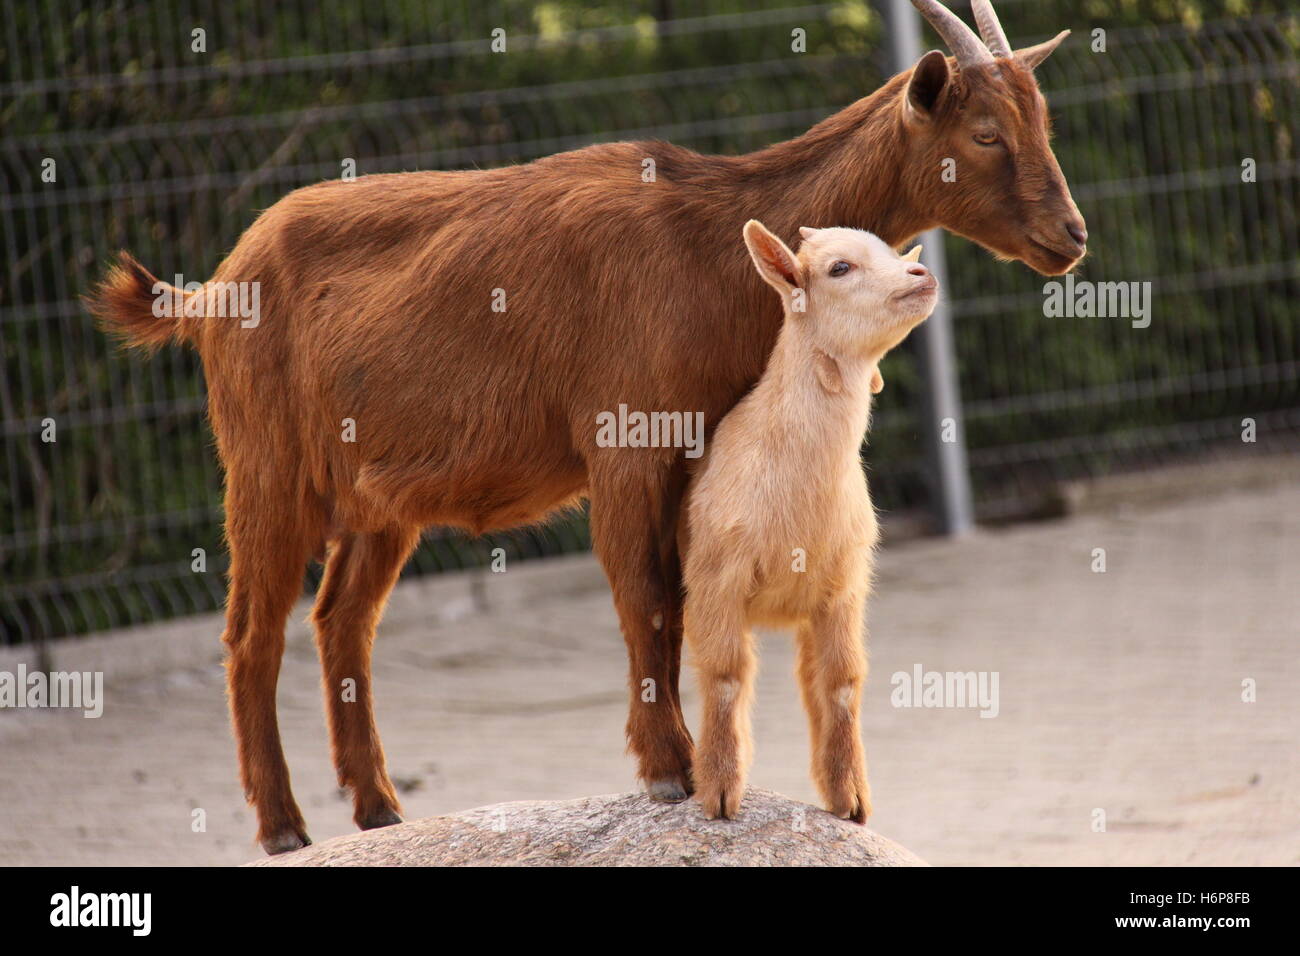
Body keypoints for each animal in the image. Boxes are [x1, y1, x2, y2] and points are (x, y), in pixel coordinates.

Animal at [682, 221, 936, 822]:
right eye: (838, 268)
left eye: (894, 252)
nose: (921, 273)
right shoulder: (715, 580)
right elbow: (724, 674)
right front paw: (720, 792)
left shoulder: (843, 586)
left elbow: (841, 681)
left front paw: (852, 801)